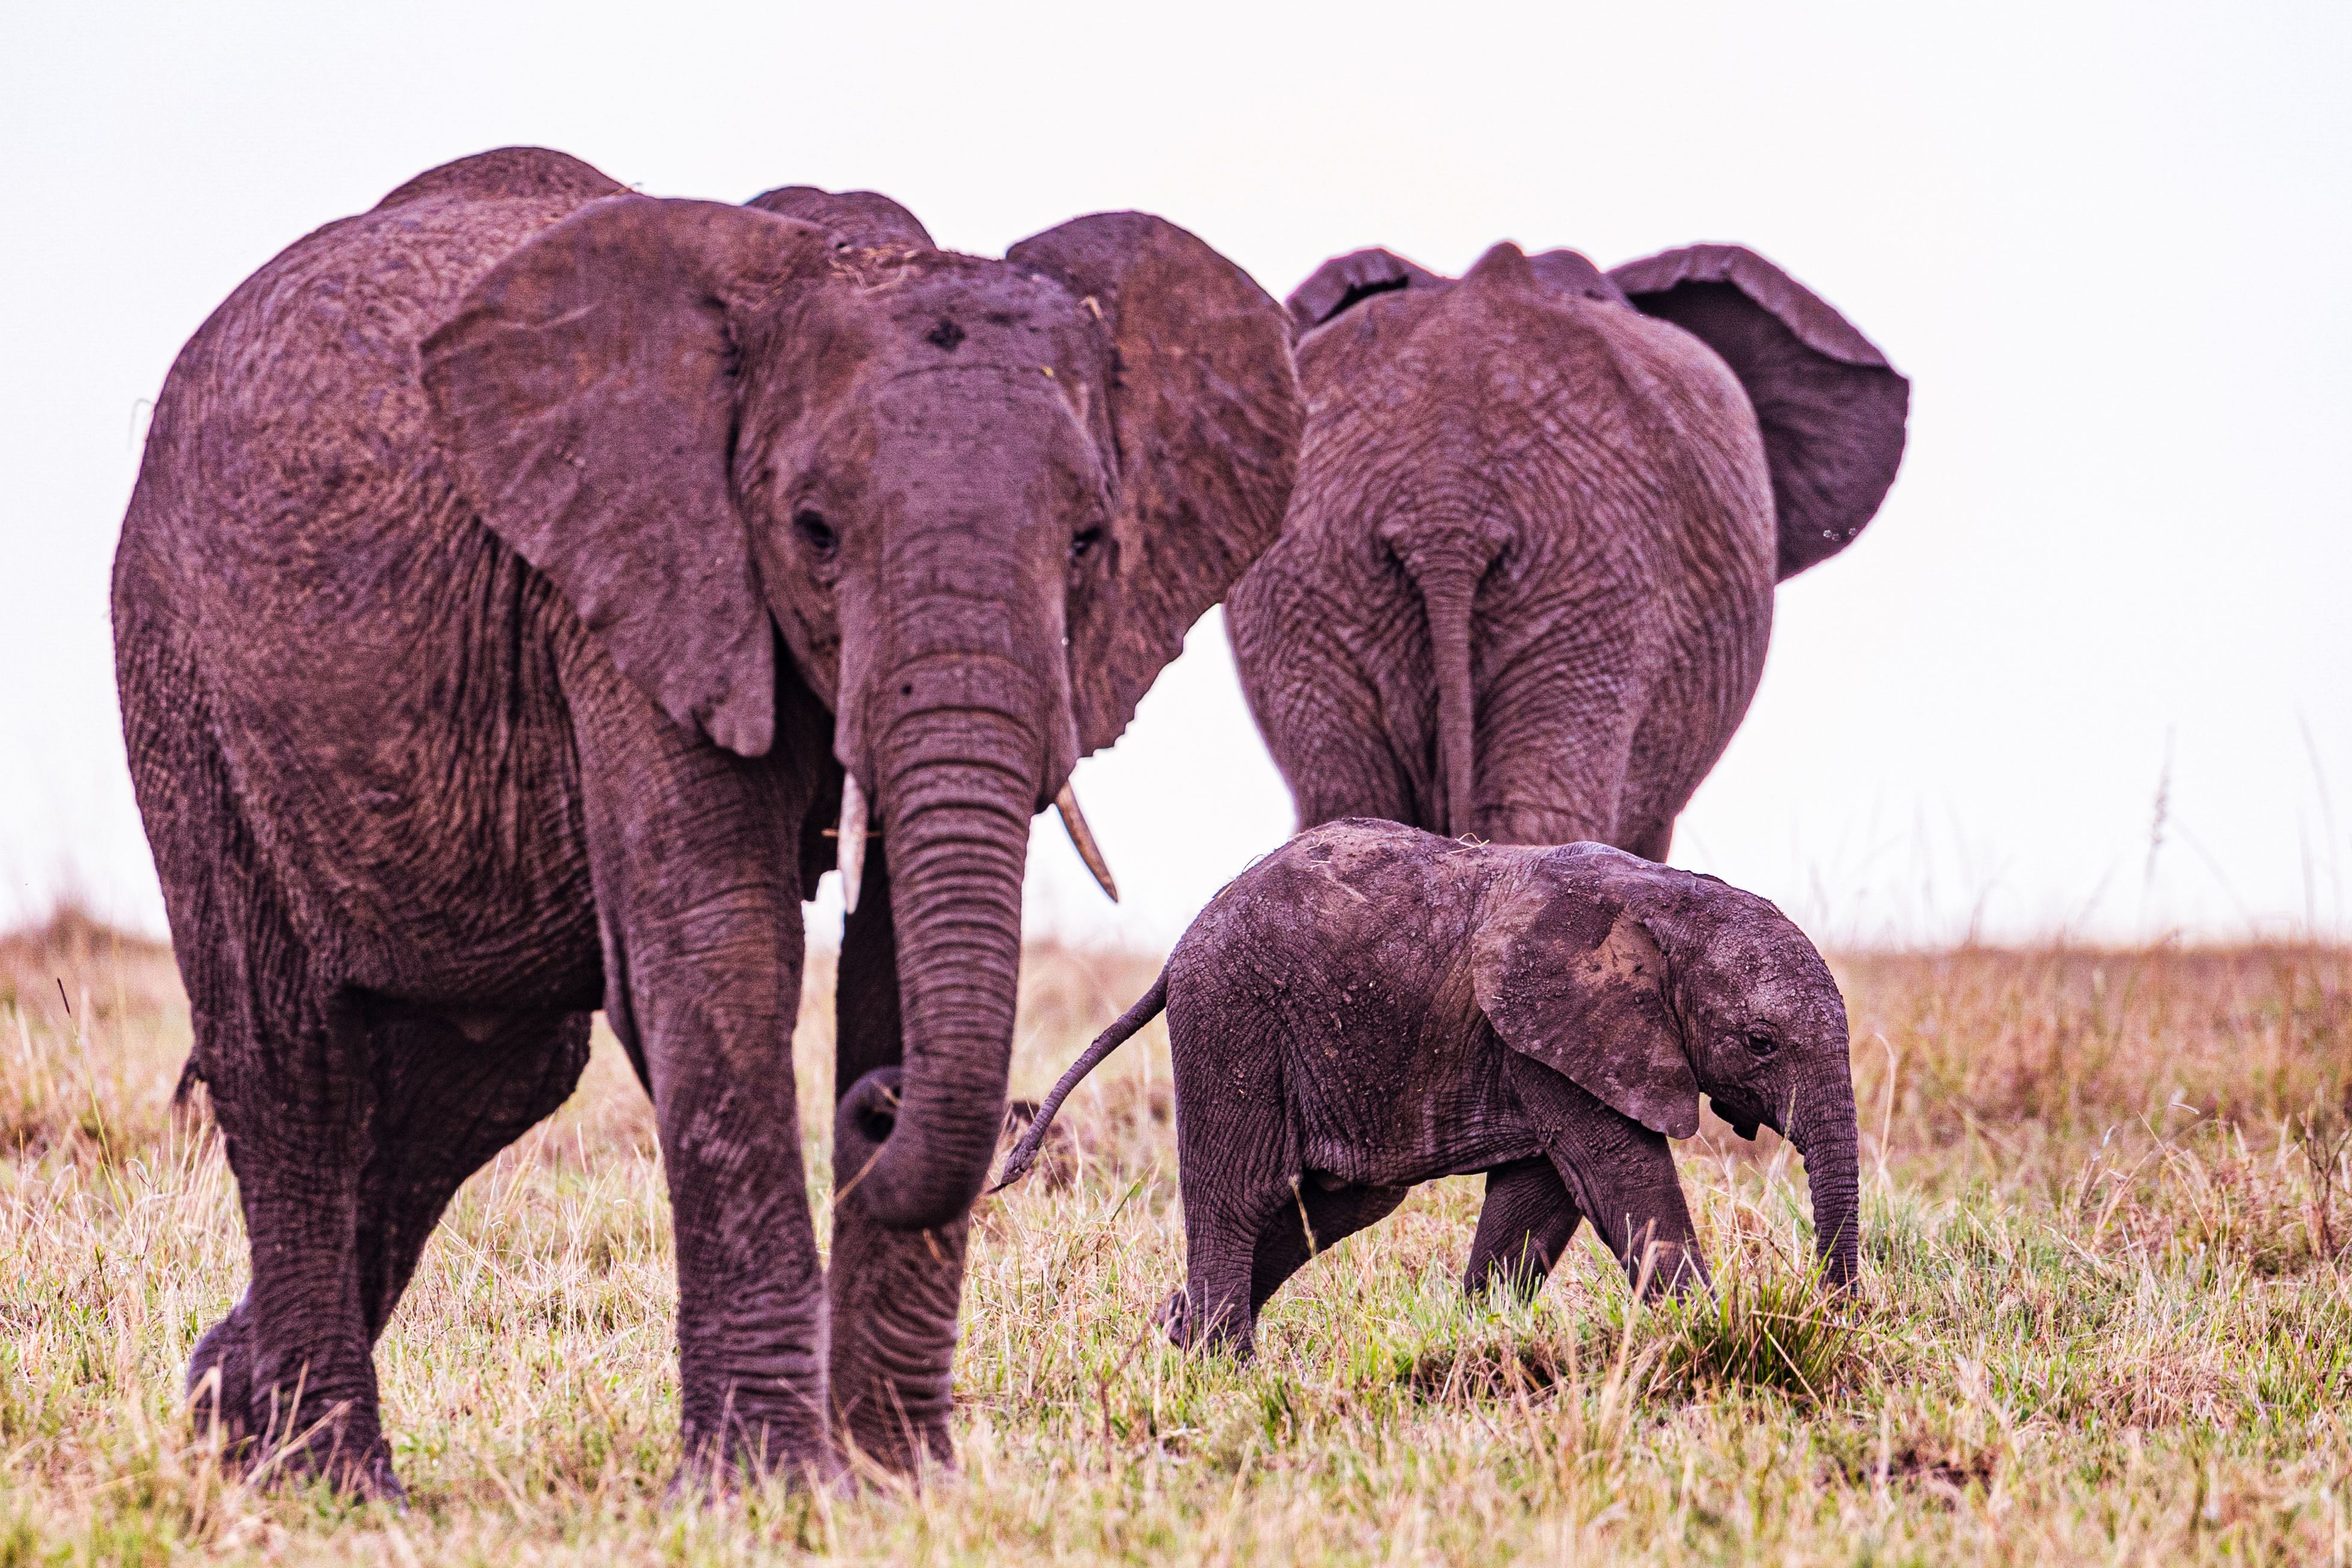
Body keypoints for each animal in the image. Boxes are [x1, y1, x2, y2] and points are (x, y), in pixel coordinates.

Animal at [112, 147, 1300, 1492]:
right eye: (814, 531)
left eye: (1091, 538)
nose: (879, 1104)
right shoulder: (634, 586)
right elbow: (719, 952)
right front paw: (766, 1487)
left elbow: (891, 956)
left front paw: (898, 1482)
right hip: (180, 668)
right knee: (292, 1058)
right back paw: (330, 1477)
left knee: (489, 1074)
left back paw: (226, 1409)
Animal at [996, 819, 1860, 1359]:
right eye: (1761, 1042)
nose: (1835, 1314)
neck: (1664, 900)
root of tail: (1177, 950)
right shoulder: (1553, 1027)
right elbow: (1621, 1179)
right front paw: (1717, 1335)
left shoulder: (1549, 1041)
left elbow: (1538, 1199)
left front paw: (1478, 1339)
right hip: (1232, 1014)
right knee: (1240, 1192)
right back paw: (1223, 1367)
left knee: (1334, 1203)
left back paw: (1172, 1332)